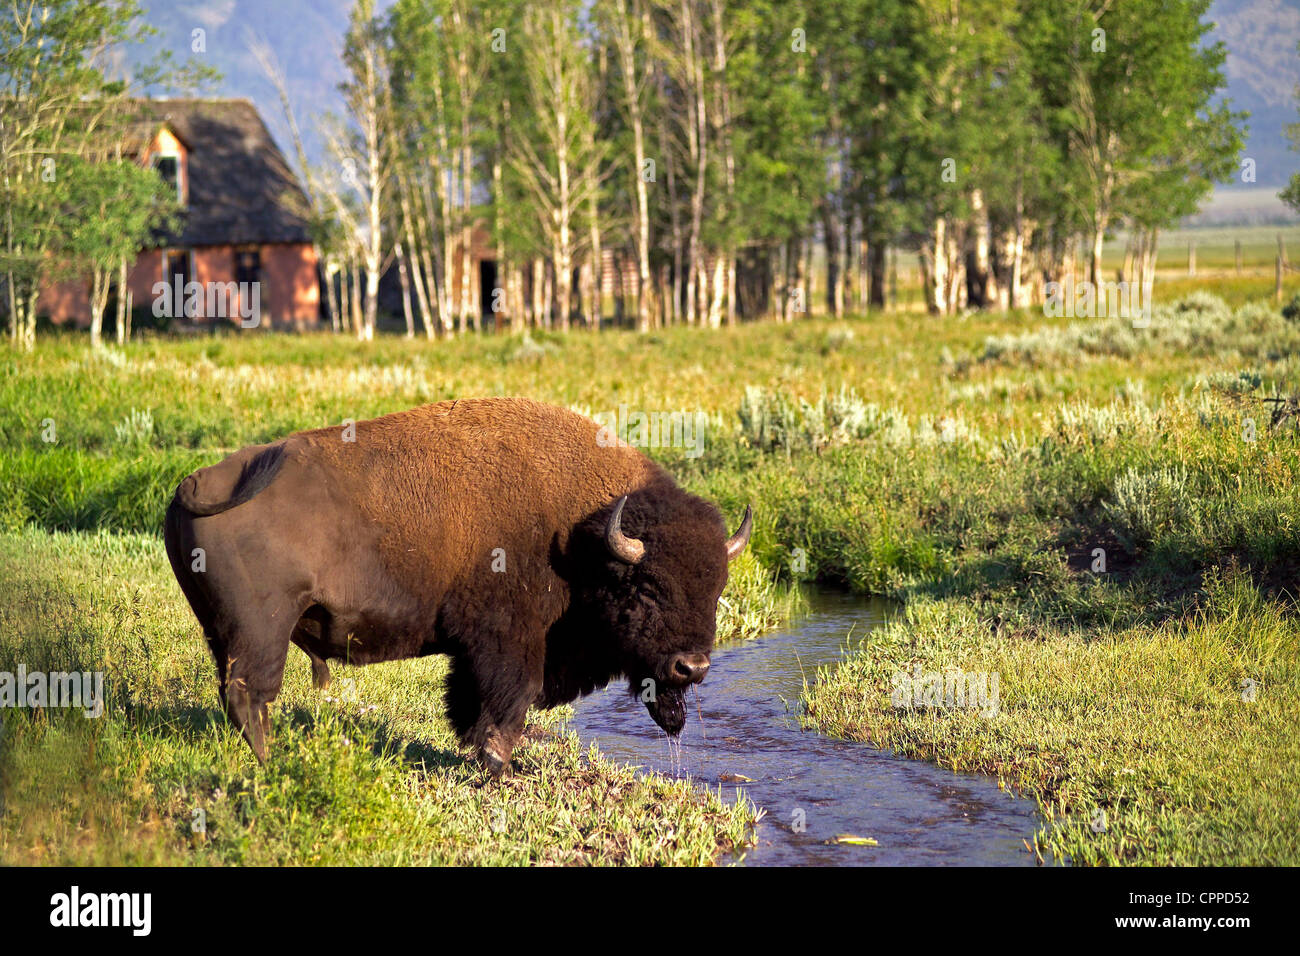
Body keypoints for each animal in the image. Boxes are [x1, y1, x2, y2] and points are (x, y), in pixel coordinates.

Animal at [164, 398, 751, 775]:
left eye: (715, 589)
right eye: (647, 588)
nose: (692, 667)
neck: (582, 533)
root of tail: (196, 481)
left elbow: (470, 702)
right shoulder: (511, 639)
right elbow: (512, 699)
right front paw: (498, 766)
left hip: (224, 632)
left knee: (236, 696)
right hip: (264, 630)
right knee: (253, 696)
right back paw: (272, 764)